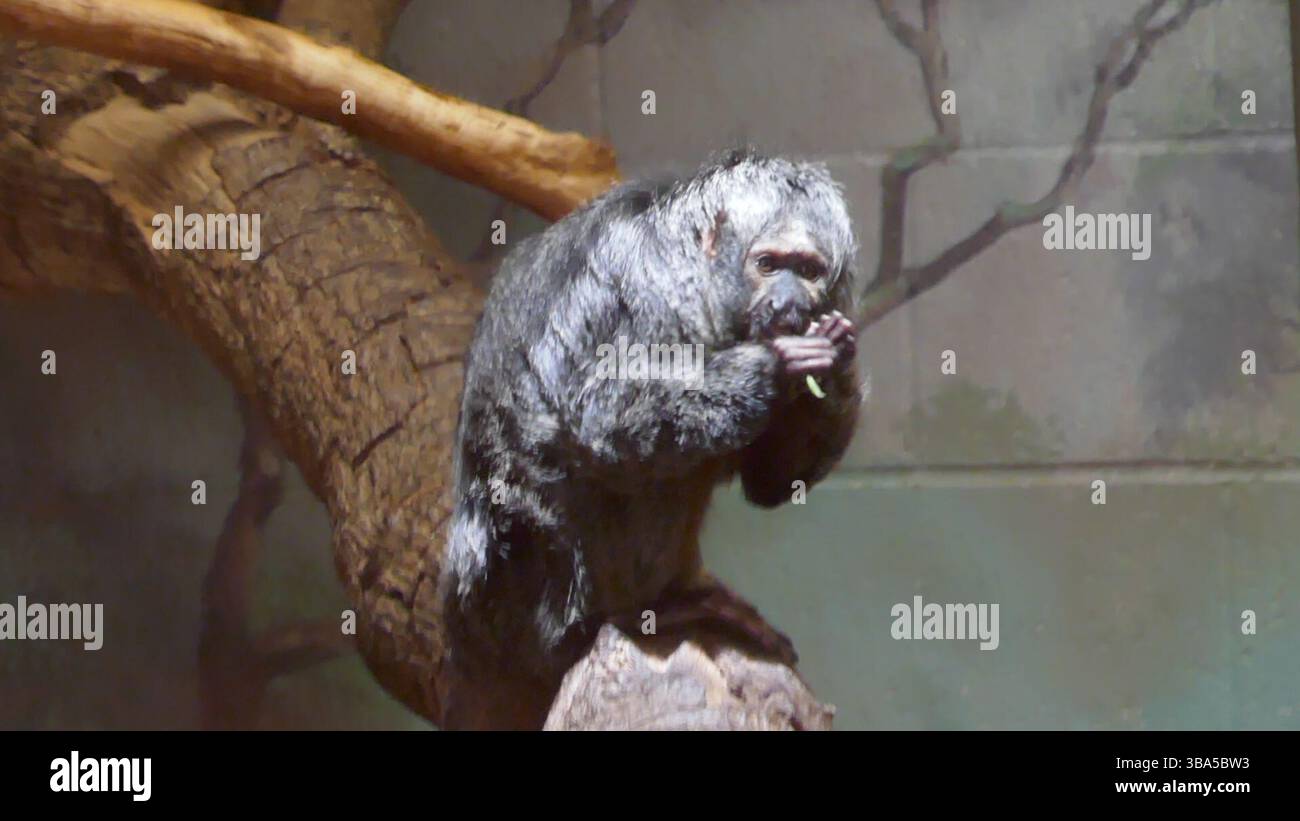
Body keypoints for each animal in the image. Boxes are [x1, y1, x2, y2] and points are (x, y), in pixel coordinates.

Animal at [440, 150, 860, 728]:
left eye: (810, 271)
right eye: (770, 265)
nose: (790, 299)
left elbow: (771, 484)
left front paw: (832, 366)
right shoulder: (653, 291)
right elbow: (603, 419)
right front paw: (776, 366)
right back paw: (648, 610)